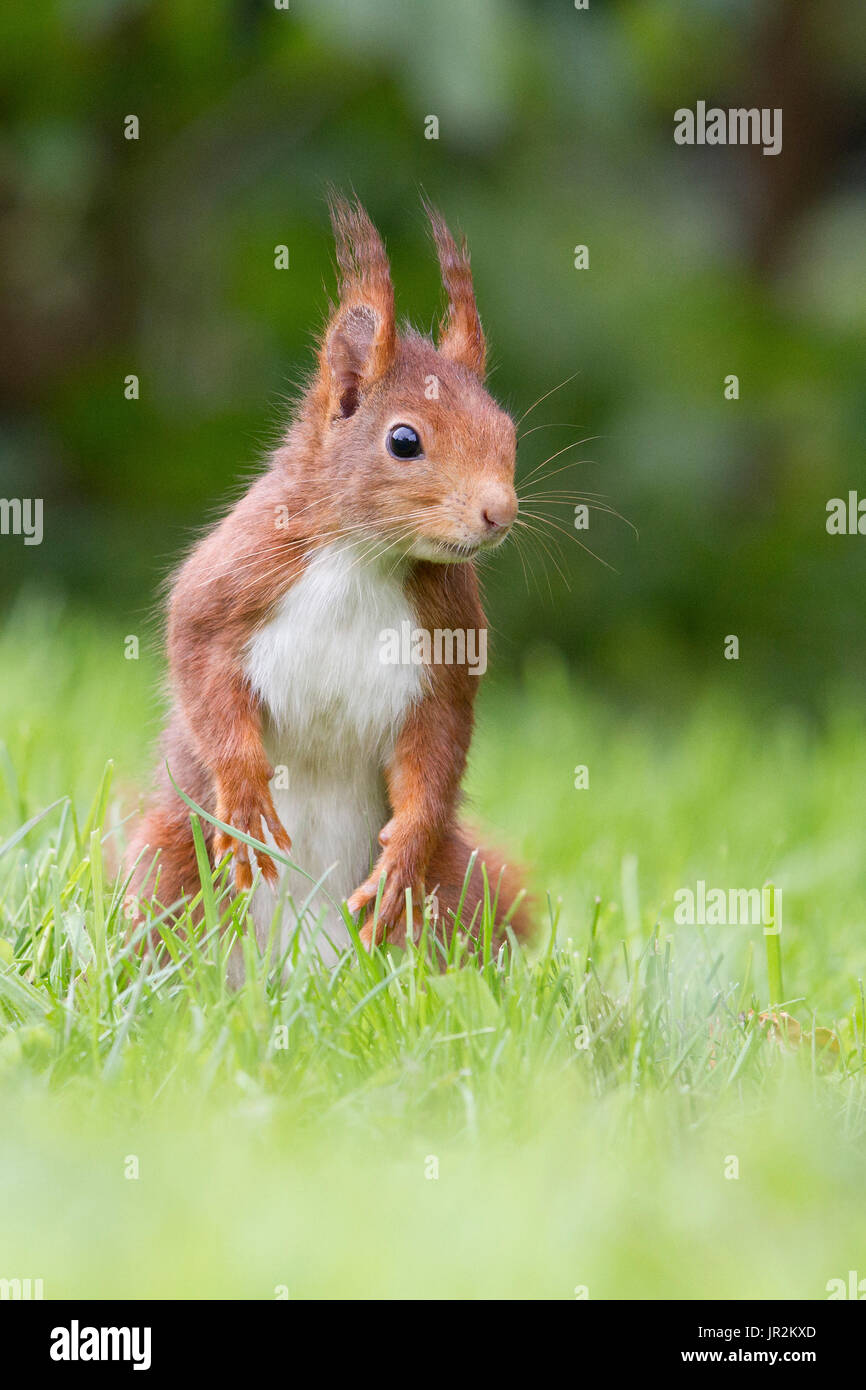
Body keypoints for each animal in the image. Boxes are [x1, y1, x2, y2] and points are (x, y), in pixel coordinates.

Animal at [125, 195, 531, 967]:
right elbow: (199, 663)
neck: (364, 556)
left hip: (454, 886)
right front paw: (245, 792)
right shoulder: (235, 577)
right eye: (404, 440)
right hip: (172, 854)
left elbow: (437, 749)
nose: (500, 513)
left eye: (509, 431)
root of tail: (295, 973)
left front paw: (402, 849)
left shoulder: (447, 643)